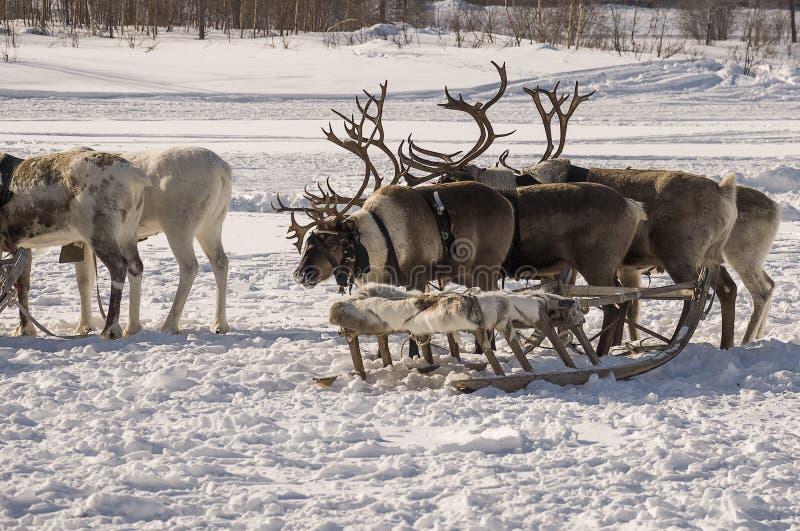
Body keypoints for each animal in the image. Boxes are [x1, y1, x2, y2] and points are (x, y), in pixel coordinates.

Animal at [0, 149, 149, 339]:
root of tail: (133, 173)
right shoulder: (22, 246)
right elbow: (22, 285)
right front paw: (25, 330)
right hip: (127, 233)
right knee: (135, 266)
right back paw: (133, 328)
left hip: (99, 233)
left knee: (118, 267)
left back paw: (110, 329)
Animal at [15, 146, 232, 337]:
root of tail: (223, 170)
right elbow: (86, 281)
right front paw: (87, 326)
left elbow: (83, 282)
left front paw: (82, 327)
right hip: (210, 225)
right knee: (220, 262)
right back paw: (219, 325)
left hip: (179, 226)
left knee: (189, 267)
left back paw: (169, 325)